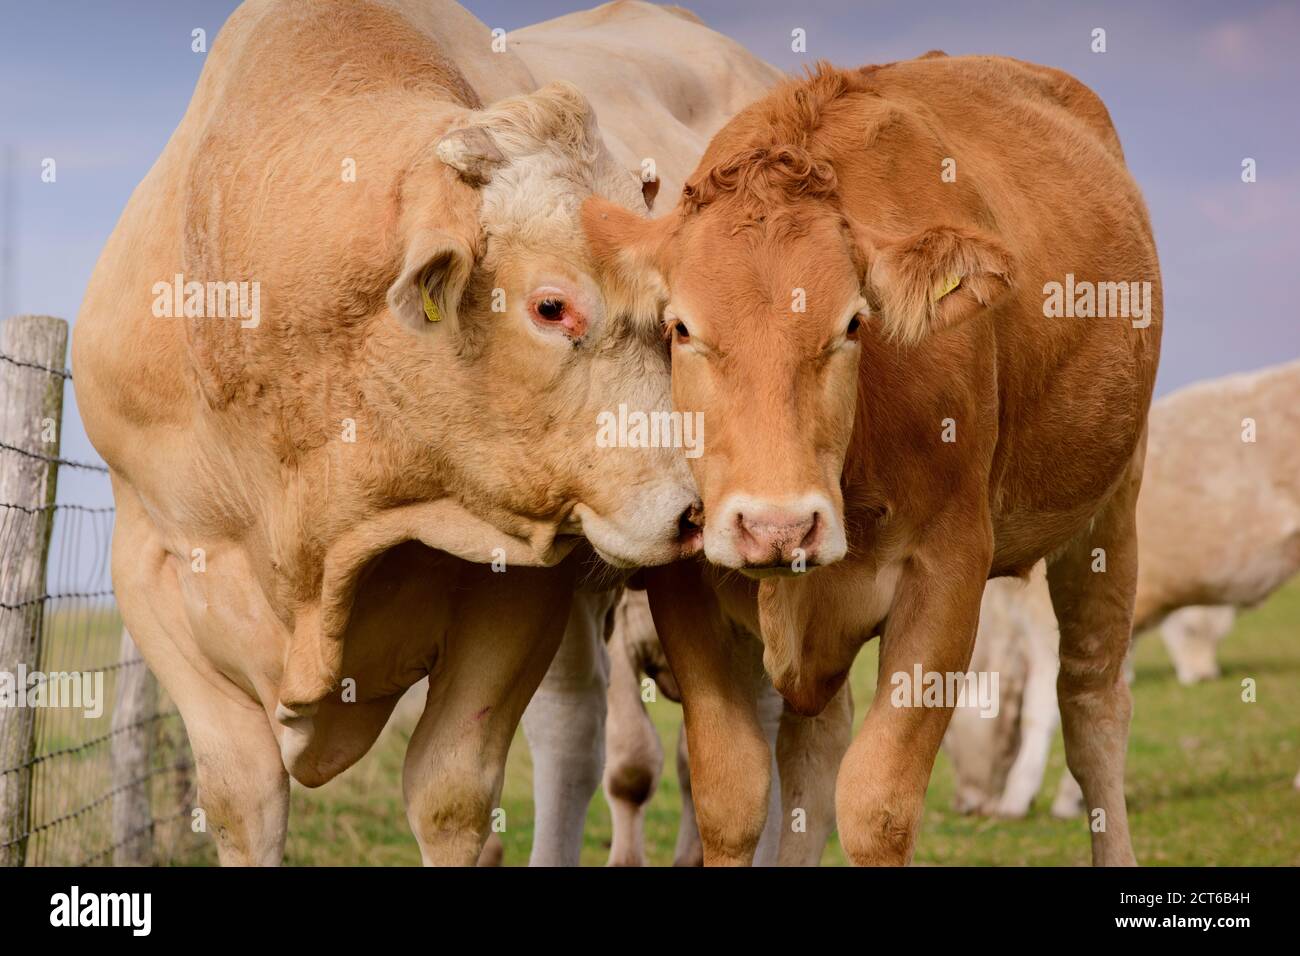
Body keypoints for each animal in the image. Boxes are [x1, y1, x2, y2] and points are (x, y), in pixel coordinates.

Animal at [71, 0, 704, 866]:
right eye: (551, 307)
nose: (694, 509)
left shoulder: (517, 587)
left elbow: (450, 797)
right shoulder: (153, 566)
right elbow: (243, 801)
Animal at [585, 55, 1162, 865]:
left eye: (854, 323)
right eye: (681, 328)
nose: (778, 528)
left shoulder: (948, 573)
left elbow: (877, 802)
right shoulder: (685, 587)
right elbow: (732, 796)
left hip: (1110, 510)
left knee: (1093, 710)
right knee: (812, 751)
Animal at [946, 358, 1300, 817]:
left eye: (946, 735)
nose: (963, 805)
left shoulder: (1048, 622)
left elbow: (1040, 711)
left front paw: (1018, 800)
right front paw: (1075, 798)